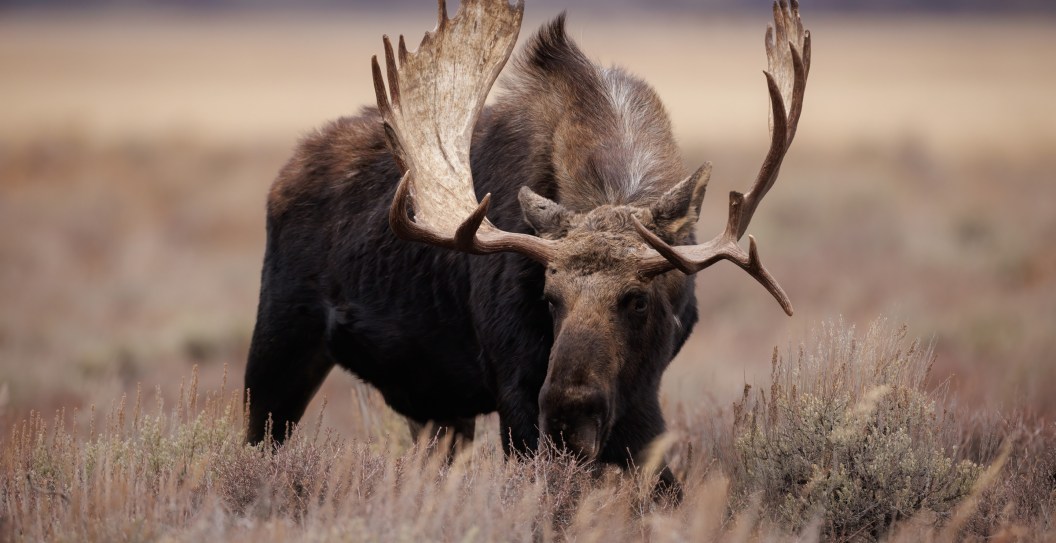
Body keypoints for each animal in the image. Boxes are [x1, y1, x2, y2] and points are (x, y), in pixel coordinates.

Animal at [245, 0, 810, 494]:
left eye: (637, 300)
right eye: (549, 297)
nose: (568, 416)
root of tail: (281, 178)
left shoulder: (642, 394)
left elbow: (667, 491)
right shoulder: (519, 393)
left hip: (438, 409)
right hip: (280, 346)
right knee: (257, 440)